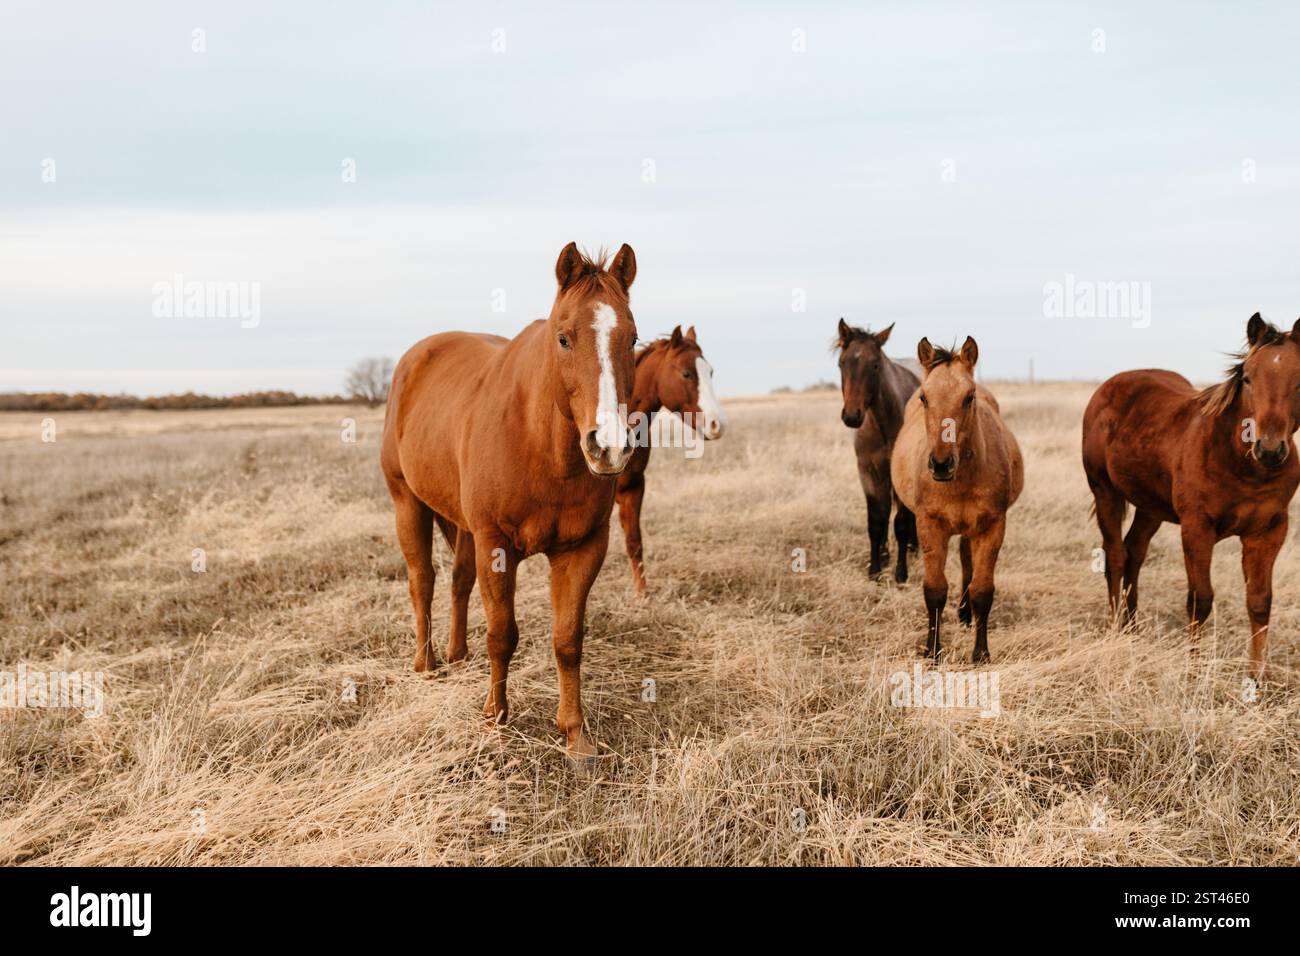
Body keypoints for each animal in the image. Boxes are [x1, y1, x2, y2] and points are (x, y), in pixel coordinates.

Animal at [380, 242, 639, 757]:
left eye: (634, 339)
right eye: (563, 339)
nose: (609, 447)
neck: (541, 445)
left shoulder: (583, 549)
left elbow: (568, 639)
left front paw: (575, 736)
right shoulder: (495, 543)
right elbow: (503, 635)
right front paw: (495, 721)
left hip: (462, 525)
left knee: (458, 581)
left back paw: (458, 654)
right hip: (408, 504)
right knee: (423, 581)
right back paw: (427, 664)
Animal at [615, 324, 727, 595]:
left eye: (710, 372)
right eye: (686, 373)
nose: (717, 424)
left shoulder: (633, 488)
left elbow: (634, 541)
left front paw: (643, 595)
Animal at [835, 319, 921, 582]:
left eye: (875, 365)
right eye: (841, 363)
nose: (852, 416)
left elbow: (901, 523)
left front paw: (901, 574)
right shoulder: (868, 471)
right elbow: (876, 520)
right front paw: (874, 570)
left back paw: (914, 549)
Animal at [891, 336, 1023, 662]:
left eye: (969, 397)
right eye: (924, 397)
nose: (941, 464)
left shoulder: (992, 526)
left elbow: (982, 590)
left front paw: (981, 653)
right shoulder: (930, 525)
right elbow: (935, 590)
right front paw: (932, 650)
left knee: (967, 563)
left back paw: (965, 614)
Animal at [1082, 313, 1300, 683]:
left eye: (1299, 380)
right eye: (1248, 378)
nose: (1269, 449)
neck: (1241, 463)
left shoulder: (1268, 532)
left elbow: (1260, 602)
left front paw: (1256, 679)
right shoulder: (1197, 528)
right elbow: (1201, 599)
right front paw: (1194, 671)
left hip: (1150, 507)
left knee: (1134, 552)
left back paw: (1133, 628)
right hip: (1106, 493)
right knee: (1115, 556)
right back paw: (1116, 629)